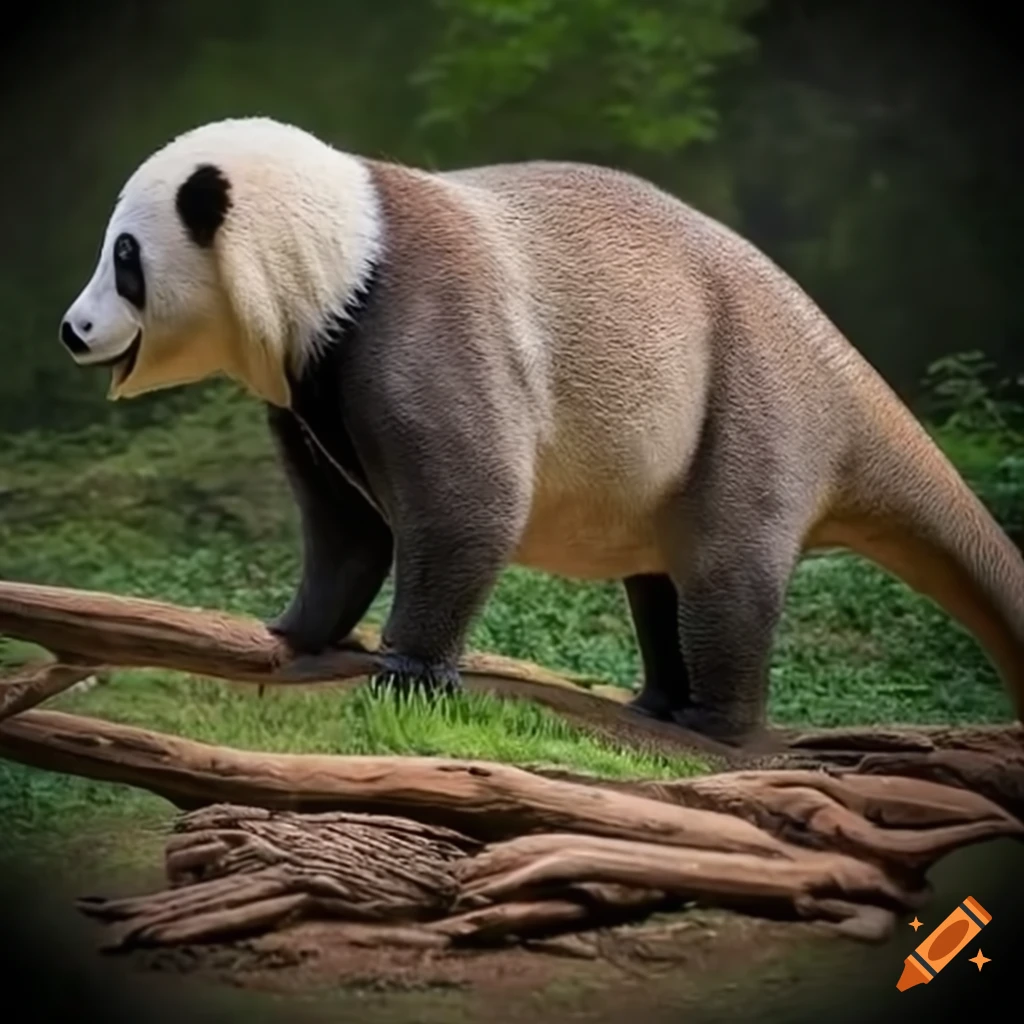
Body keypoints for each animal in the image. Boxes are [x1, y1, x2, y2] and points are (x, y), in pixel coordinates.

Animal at [59, 116, 1024, 745]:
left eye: (125, 256)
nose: (73, 329)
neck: (343, 245)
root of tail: (830, 350)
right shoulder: (313, 375)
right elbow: (347, 524)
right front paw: (297, 631)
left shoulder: (421, 312)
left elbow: (470, 497)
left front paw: (410, 672)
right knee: (661, 582)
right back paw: (656, 700)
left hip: (747, 395)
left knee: (727, 571)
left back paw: (716, 722)